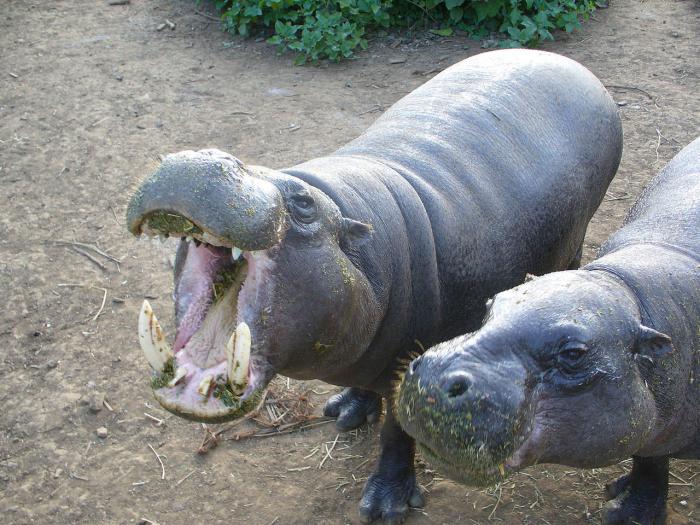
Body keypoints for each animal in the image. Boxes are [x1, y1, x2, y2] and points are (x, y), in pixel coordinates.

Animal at [129, 48, 620, 520]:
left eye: (304, 205)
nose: (210, 157)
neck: (352, 221)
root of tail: (571, 65)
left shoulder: (412, 366)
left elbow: (395, 435)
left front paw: (386, 506)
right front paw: (346, 411)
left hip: (575, 239)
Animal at [400, 136, 700, 524]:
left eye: (574, 353)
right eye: (490, 304)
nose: (433, 377)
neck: (632, 295)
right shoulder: (656, 419)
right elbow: (650, 460)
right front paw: (627, 511)